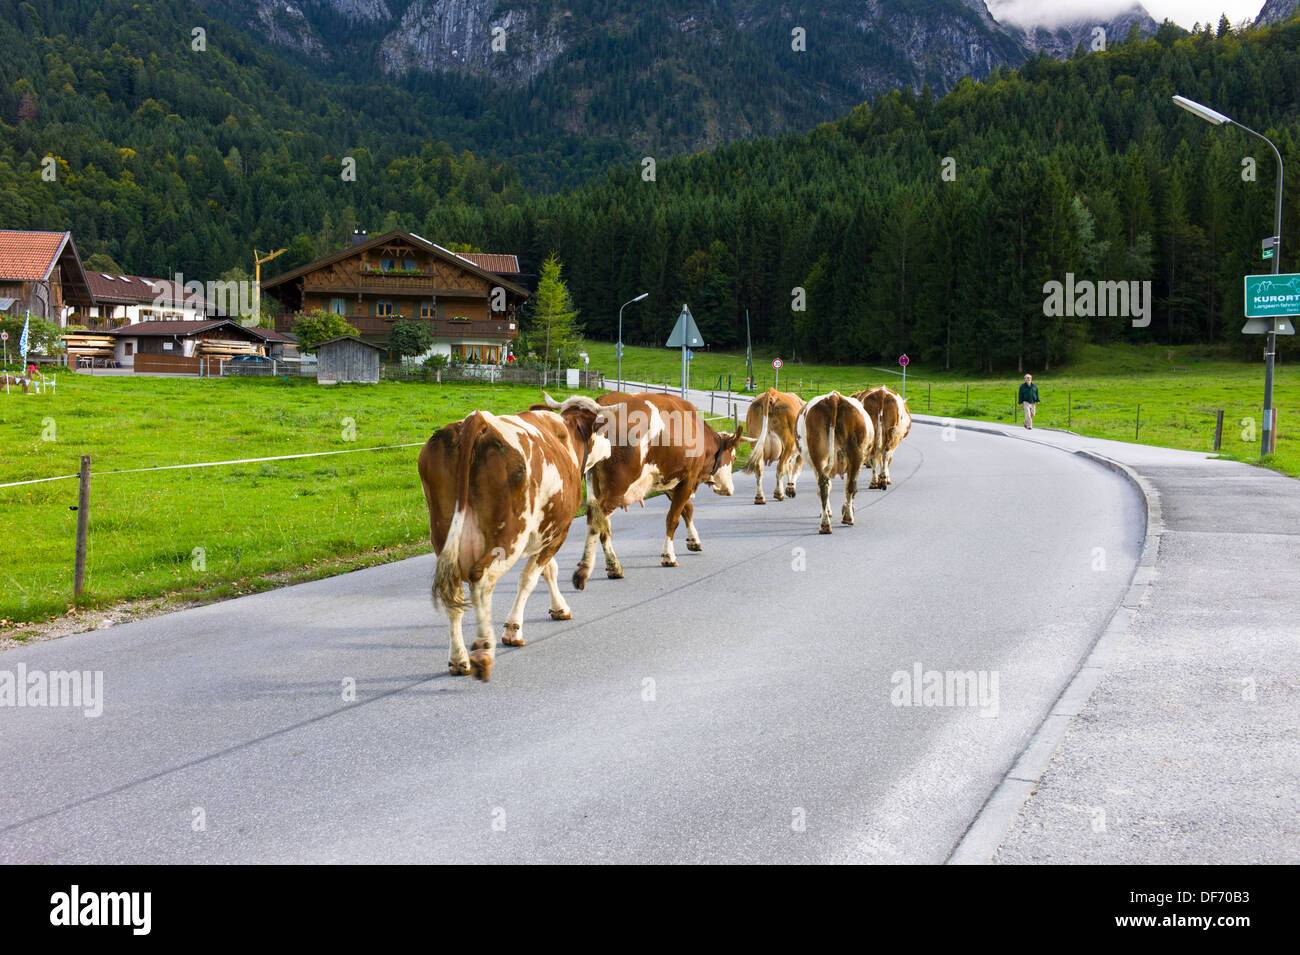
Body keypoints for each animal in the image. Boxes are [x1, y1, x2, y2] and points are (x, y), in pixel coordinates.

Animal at [418, 394, 612, 682]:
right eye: (604, 430)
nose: (610, 448)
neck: (568, 434)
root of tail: (475, 420)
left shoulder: (544, 531)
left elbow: (548, 570)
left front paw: (559, 608)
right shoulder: (559, 530)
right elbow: (530, 577)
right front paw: (513, 629)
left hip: (442, 534)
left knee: (453, 590)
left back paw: (459, 659)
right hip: (509, 537)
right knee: (482, 583)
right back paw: (483, 652)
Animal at [566, 391, 744, 587]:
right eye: (734, 458)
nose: (730, 489)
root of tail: (601, 404)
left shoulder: (669, 480)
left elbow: (687, 509)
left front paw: (693, 540)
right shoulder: (688, 478)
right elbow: (673, 518)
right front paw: (668, 556)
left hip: (594, 481)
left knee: (601, 521)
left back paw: (614, 567)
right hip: (618, 486)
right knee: (597, 517)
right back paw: (584, 571)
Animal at [796, 391, 874, 534]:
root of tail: (833, 397)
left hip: (819, 454)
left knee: (825, 484)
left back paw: (826, 524)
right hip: (856, 454)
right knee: (849, 485)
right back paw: (847, 517)